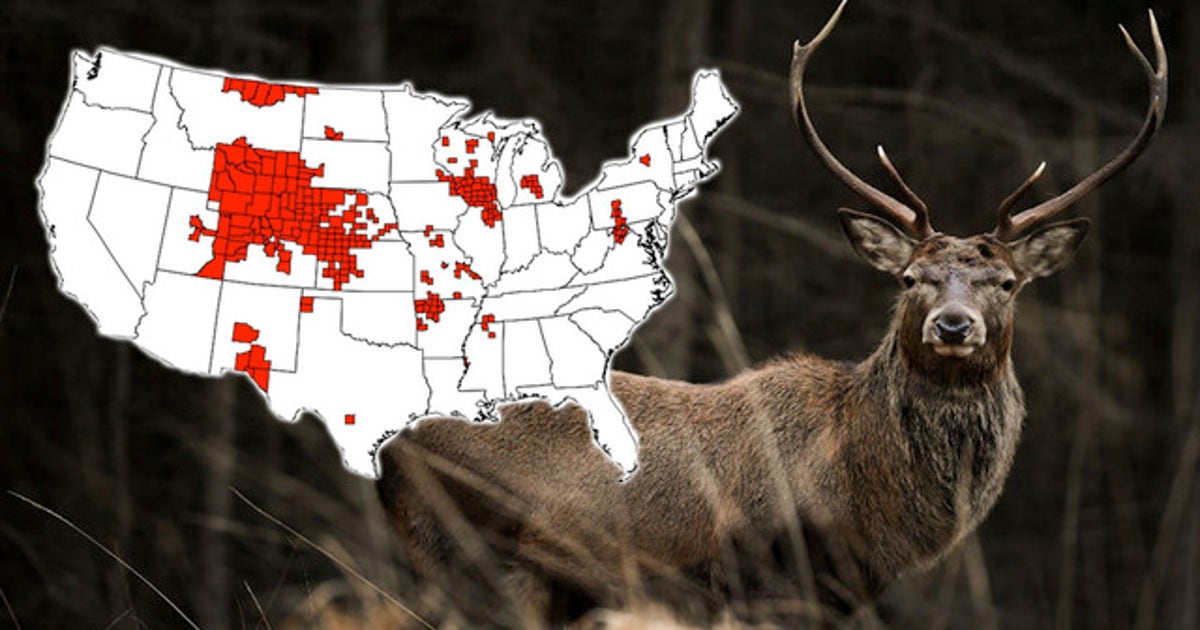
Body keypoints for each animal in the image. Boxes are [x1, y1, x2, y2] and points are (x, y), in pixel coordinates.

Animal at [376, 2, 1167, 627]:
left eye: (1004, 282)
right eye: (911, 277)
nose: (952, 325)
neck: (871, 501)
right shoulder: (768, 577)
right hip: (464, 557)